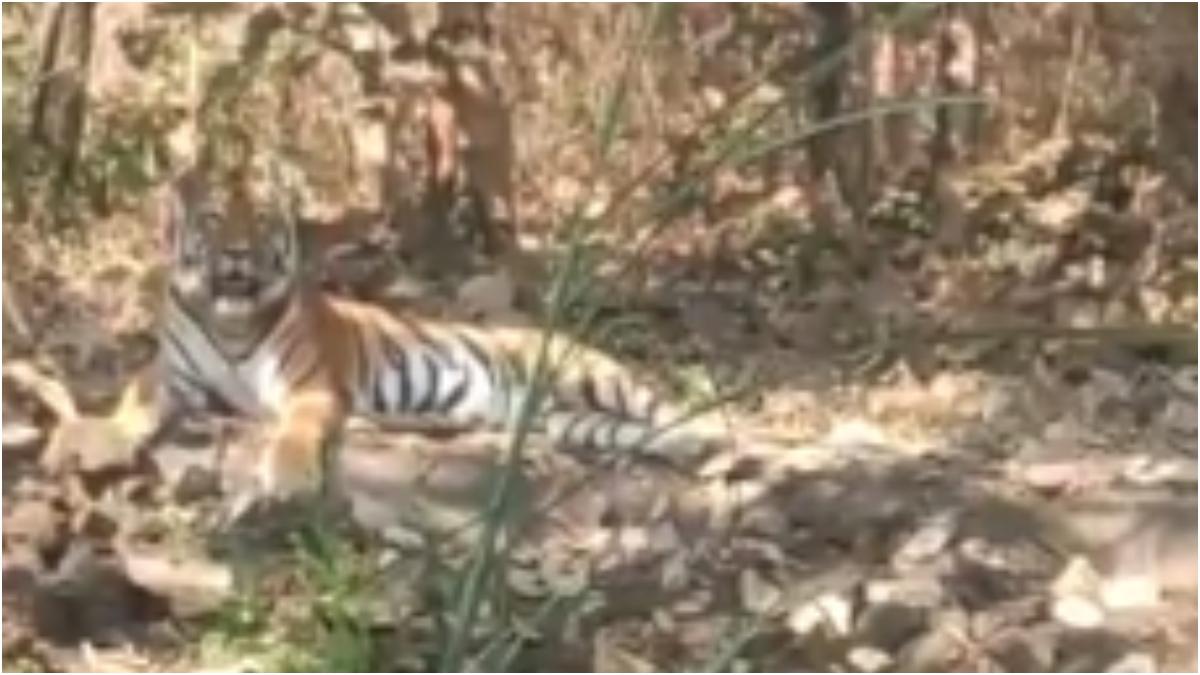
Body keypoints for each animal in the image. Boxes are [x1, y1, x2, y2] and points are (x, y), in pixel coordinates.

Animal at [107, 167, 719, 507]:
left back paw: (717, 443)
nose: (237, 252)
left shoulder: (310, 387)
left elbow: (295, 431)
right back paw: (694, 449)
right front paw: (107, 435)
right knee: (639, 431)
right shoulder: (173, 375)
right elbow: (134, 391)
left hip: (588, 375)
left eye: (260, 218)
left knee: (676, 409)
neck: (231, 319)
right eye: (213, 217)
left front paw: (289, 478)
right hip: (567, 420)